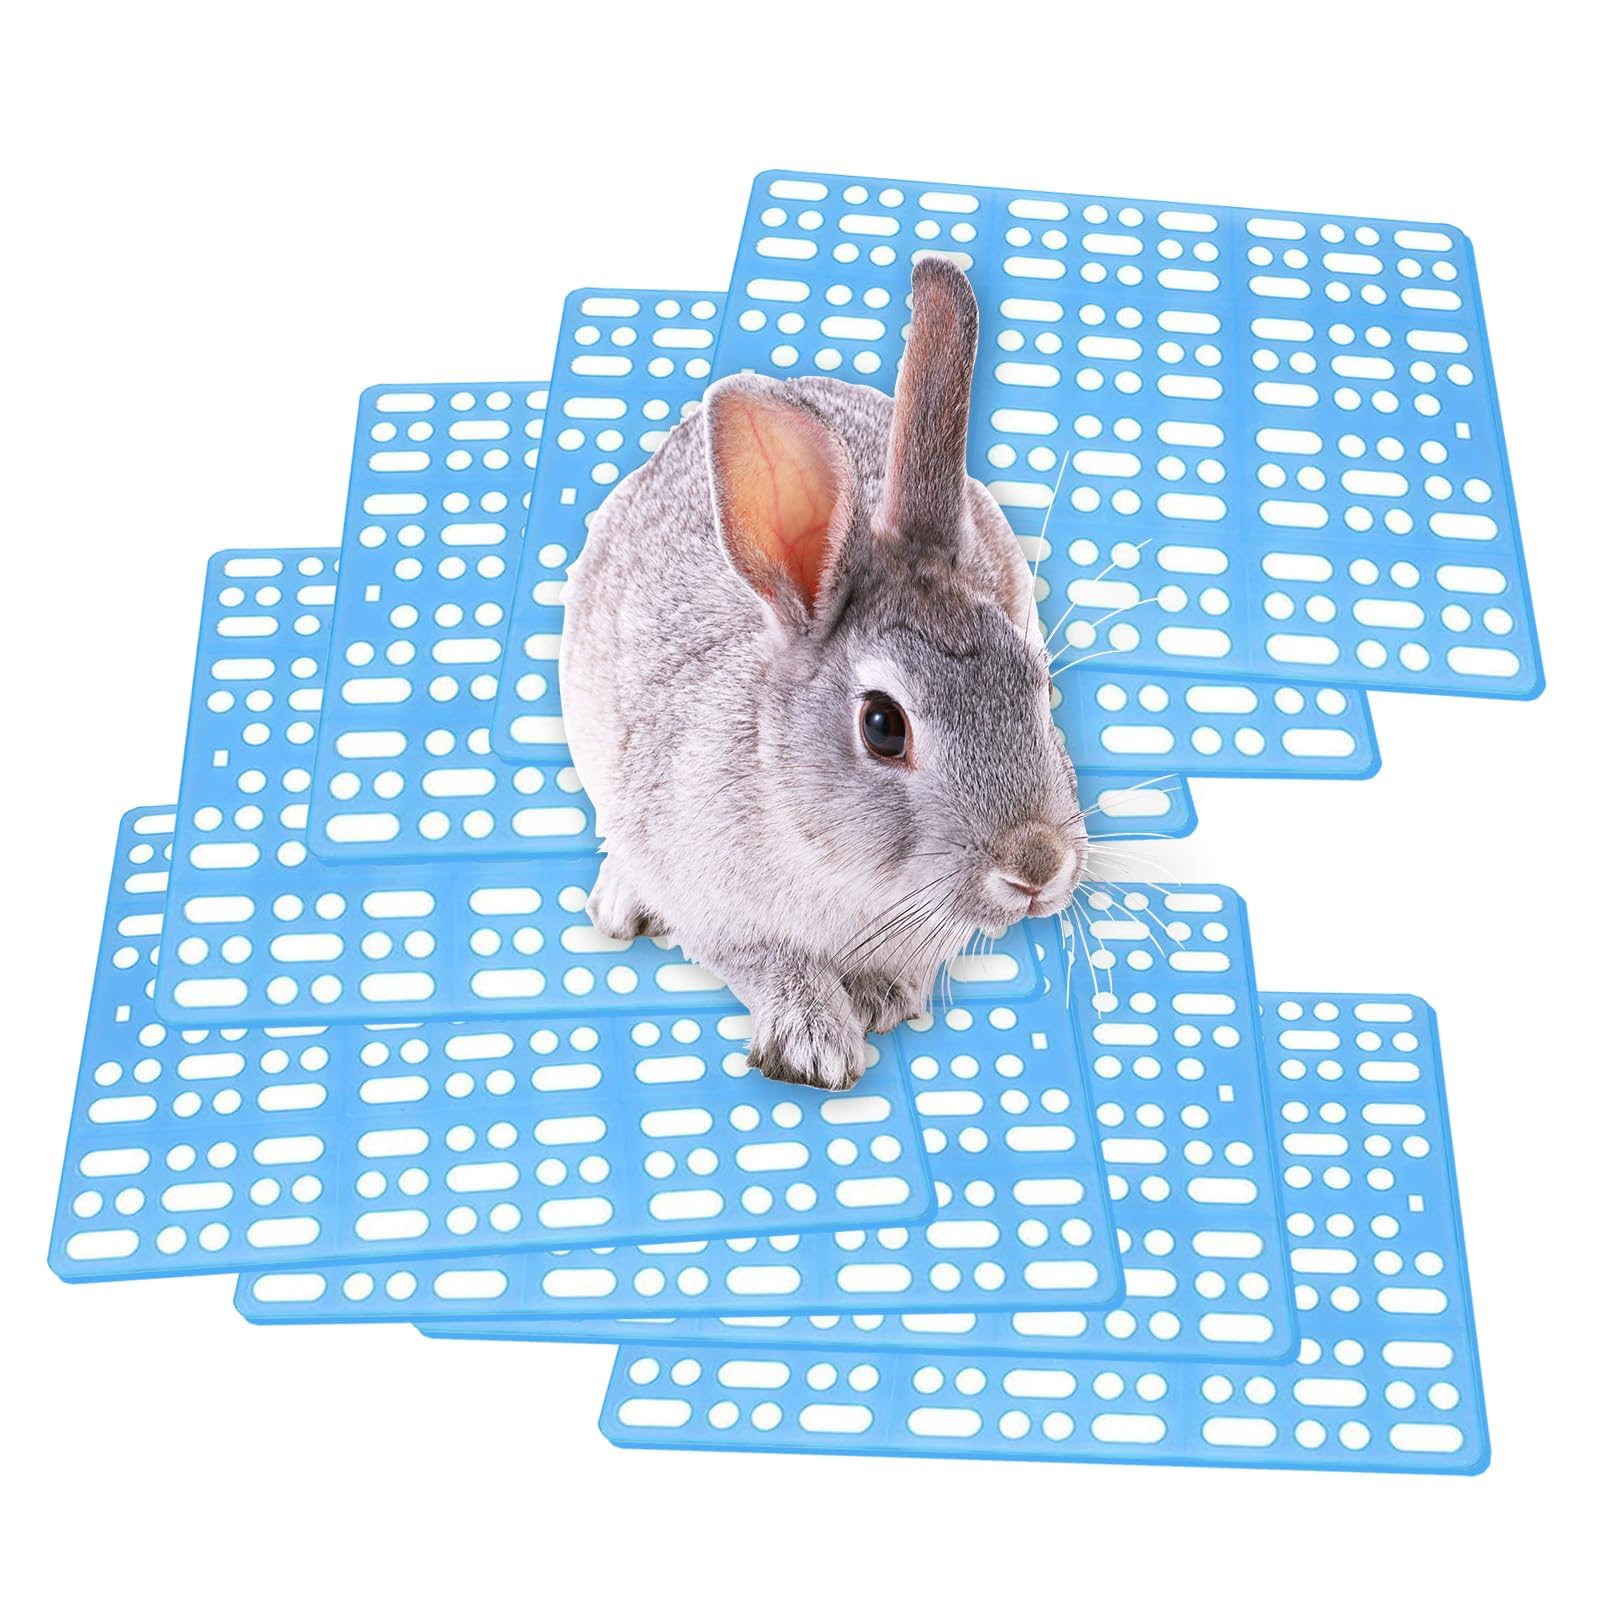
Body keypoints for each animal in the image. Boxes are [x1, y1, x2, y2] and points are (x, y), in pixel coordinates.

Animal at [559, 257, 1086, 1090]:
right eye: (882, 727)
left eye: (1034, 682)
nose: (1037, 868)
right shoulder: (718, 907)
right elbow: (771, 964)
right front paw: (815, 1045)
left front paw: (879, 999)